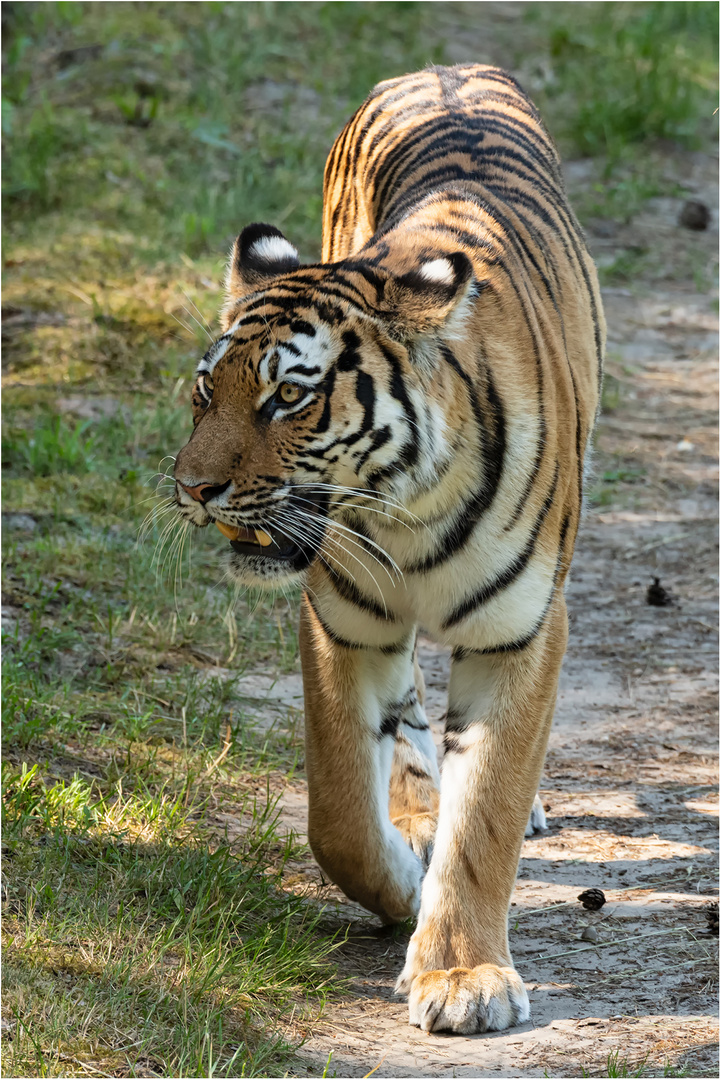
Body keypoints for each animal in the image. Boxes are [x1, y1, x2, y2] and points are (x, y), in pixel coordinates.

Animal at [173, 63, 604, 1034]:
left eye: (287, 398)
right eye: (205, 393)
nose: (191, 487)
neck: (409, 510)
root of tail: (444, 70)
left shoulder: (521, 634)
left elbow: (486, 816)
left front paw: (462, 977)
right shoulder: (344, 621)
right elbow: (337, 811)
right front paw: (406, 884)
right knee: (403, 720)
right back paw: (413, 816)